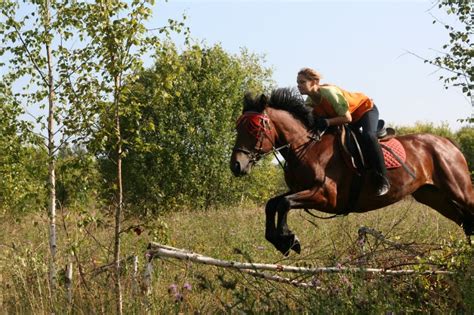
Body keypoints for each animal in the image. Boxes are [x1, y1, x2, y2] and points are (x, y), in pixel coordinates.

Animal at [230, 88, 474, 256]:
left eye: (254, 128)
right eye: (238, 127)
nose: (236, 166)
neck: (307, 146)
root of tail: (449, 144)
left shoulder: (326, 196)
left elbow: (284, 203)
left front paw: (289, 239)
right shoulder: (301, 189)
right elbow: (273, 204)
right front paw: (281, 240)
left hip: (459, 190)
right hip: (432, 195)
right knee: (465, 222)